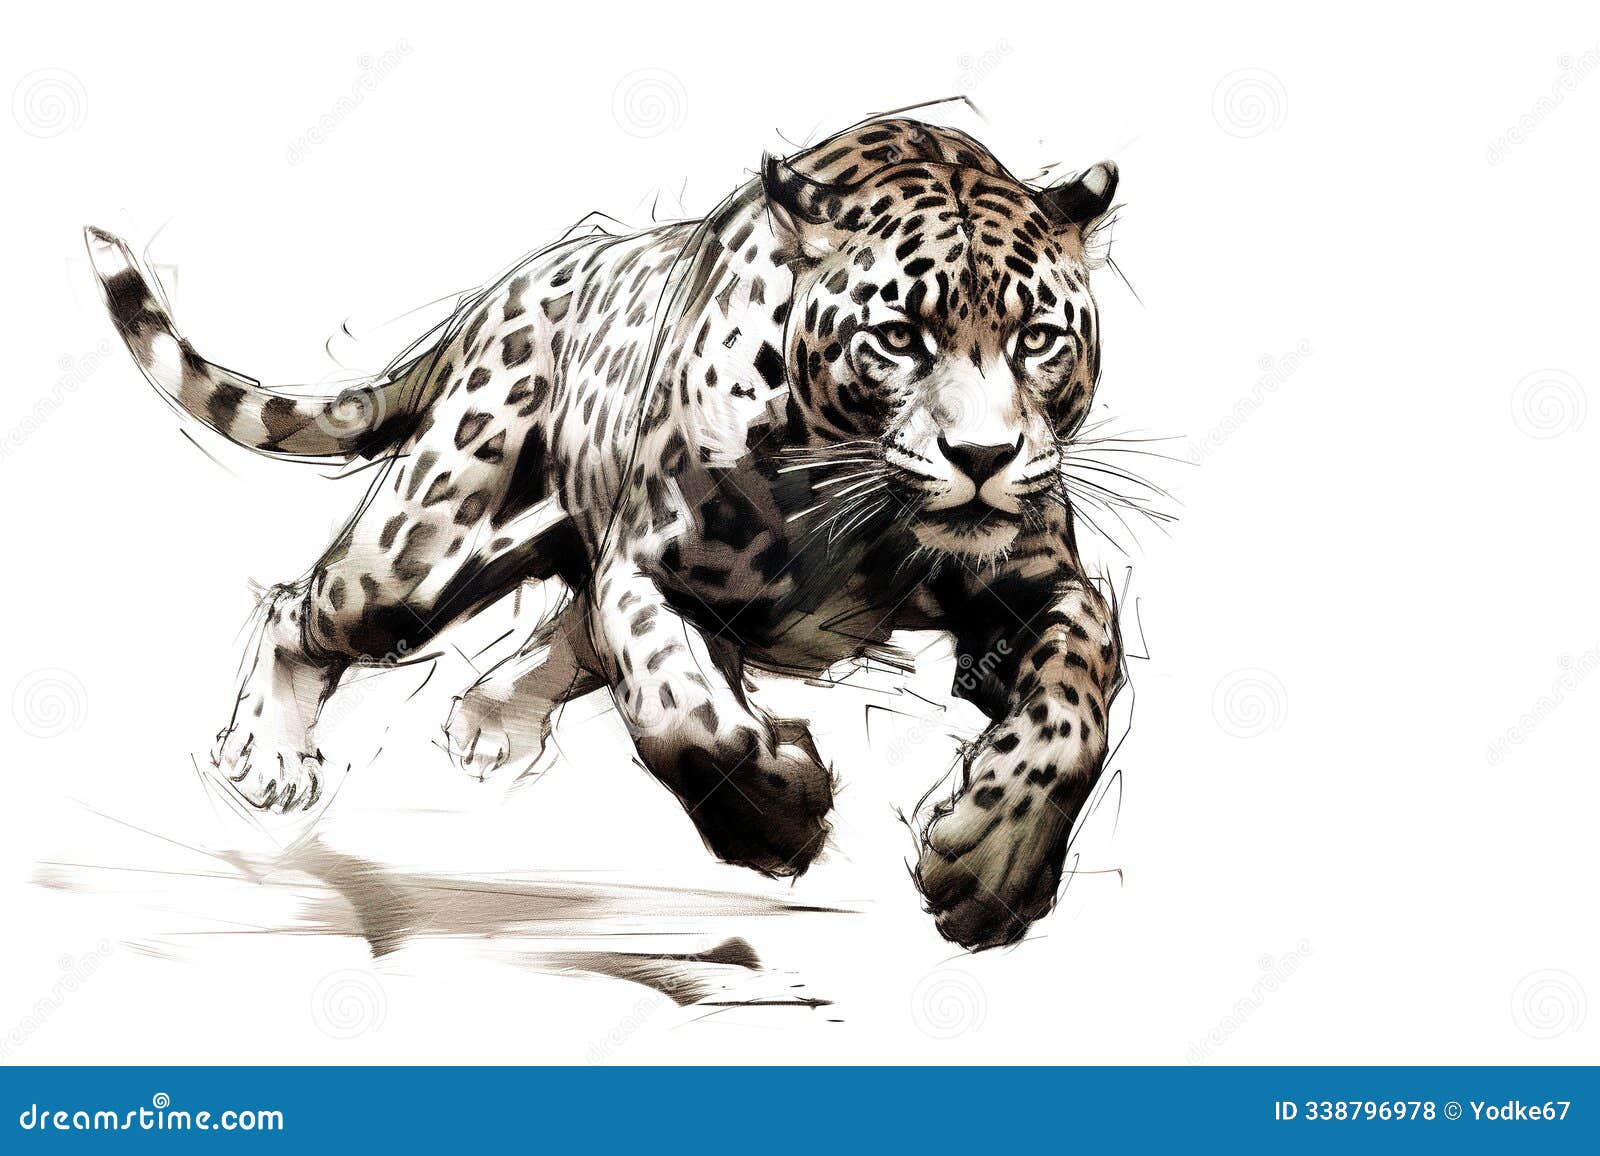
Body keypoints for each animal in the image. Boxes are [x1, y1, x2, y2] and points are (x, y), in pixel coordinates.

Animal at [86, 116, 1126, 951]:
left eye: (1038, 337)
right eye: (901, 336)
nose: (983, 455)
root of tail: (501, 292)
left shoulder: (1046, 586)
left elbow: (1073, 711)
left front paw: (989, 871)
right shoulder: (649, 568)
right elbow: (681, 714)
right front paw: (782, 815)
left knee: (558, 628)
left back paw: (490, 722)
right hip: (418, 553)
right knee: (299, 605)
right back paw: (270, 758)